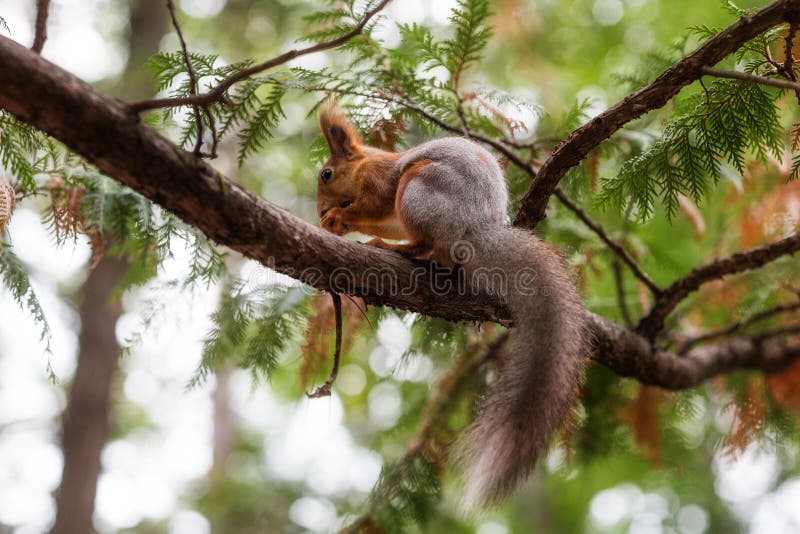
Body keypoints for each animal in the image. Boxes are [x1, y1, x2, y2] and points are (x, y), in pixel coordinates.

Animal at [315, 103, 587, 509]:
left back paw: (393, 249)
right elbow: (385, 220)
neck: (365, 163)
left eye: (326, 174)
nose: (319, 211)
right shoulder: (392, 216)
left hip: (418, 188)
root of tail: (474, 228)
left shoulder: (379, 183)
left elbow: (373, 204)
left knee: (424, 243)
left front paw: (340, 218)